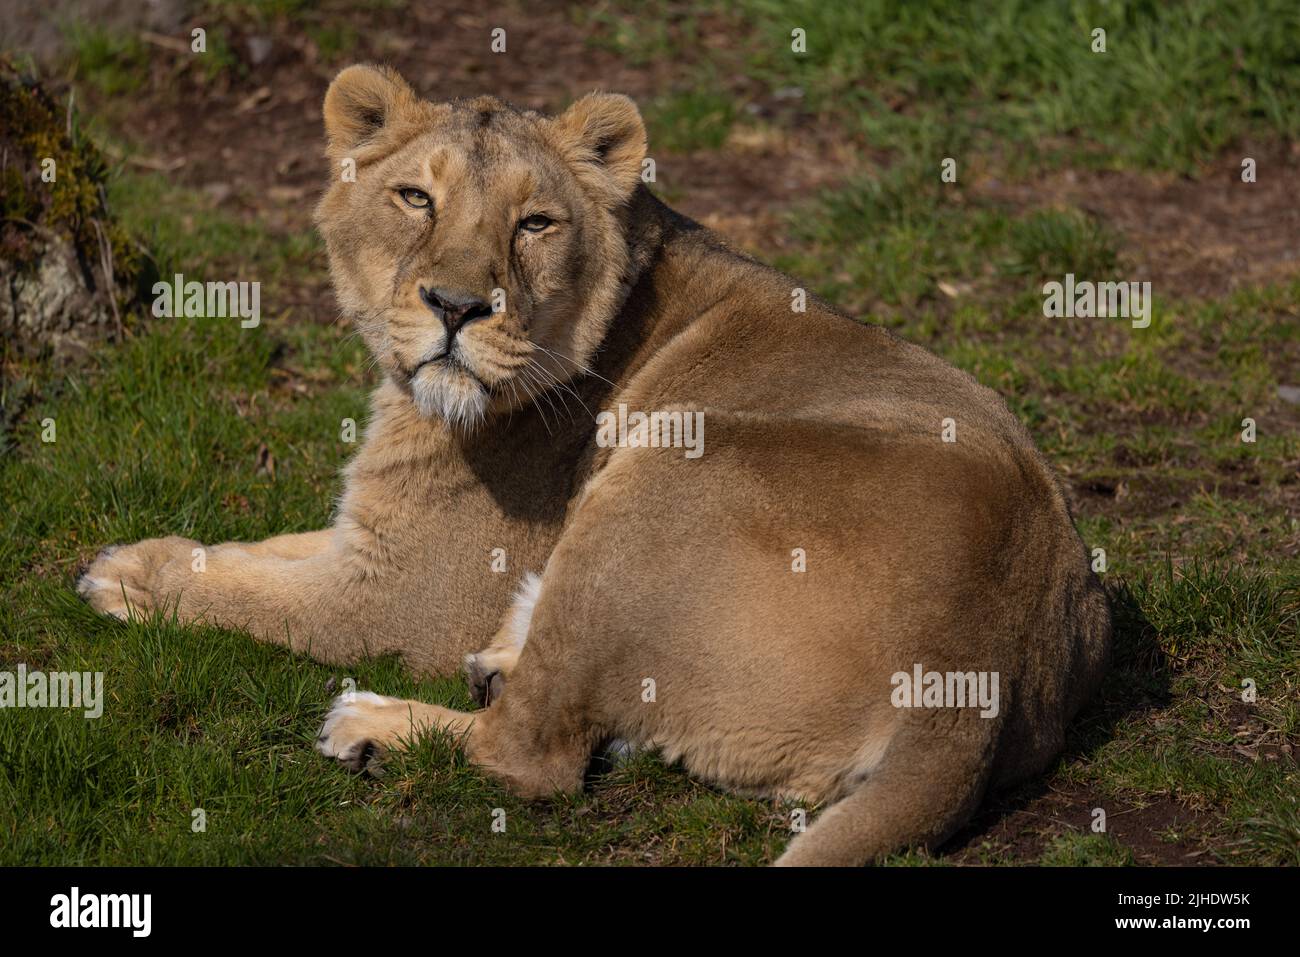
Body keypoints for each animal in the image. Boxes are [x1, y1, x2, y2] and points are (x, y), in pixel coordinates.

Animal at [78, 64, 1111, 866]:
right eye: (416, 198)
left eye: (535, 223)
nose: (458, 305)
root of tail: (975, 679)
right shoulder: (367, 536)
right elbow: (260, 549)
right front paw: (141, 553)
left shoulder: (402, 600)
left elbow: (259, 597)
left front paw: (125, 580)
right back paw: (496, 660)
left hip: (662, 479)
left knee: (529, 754)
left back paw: (372, 725)